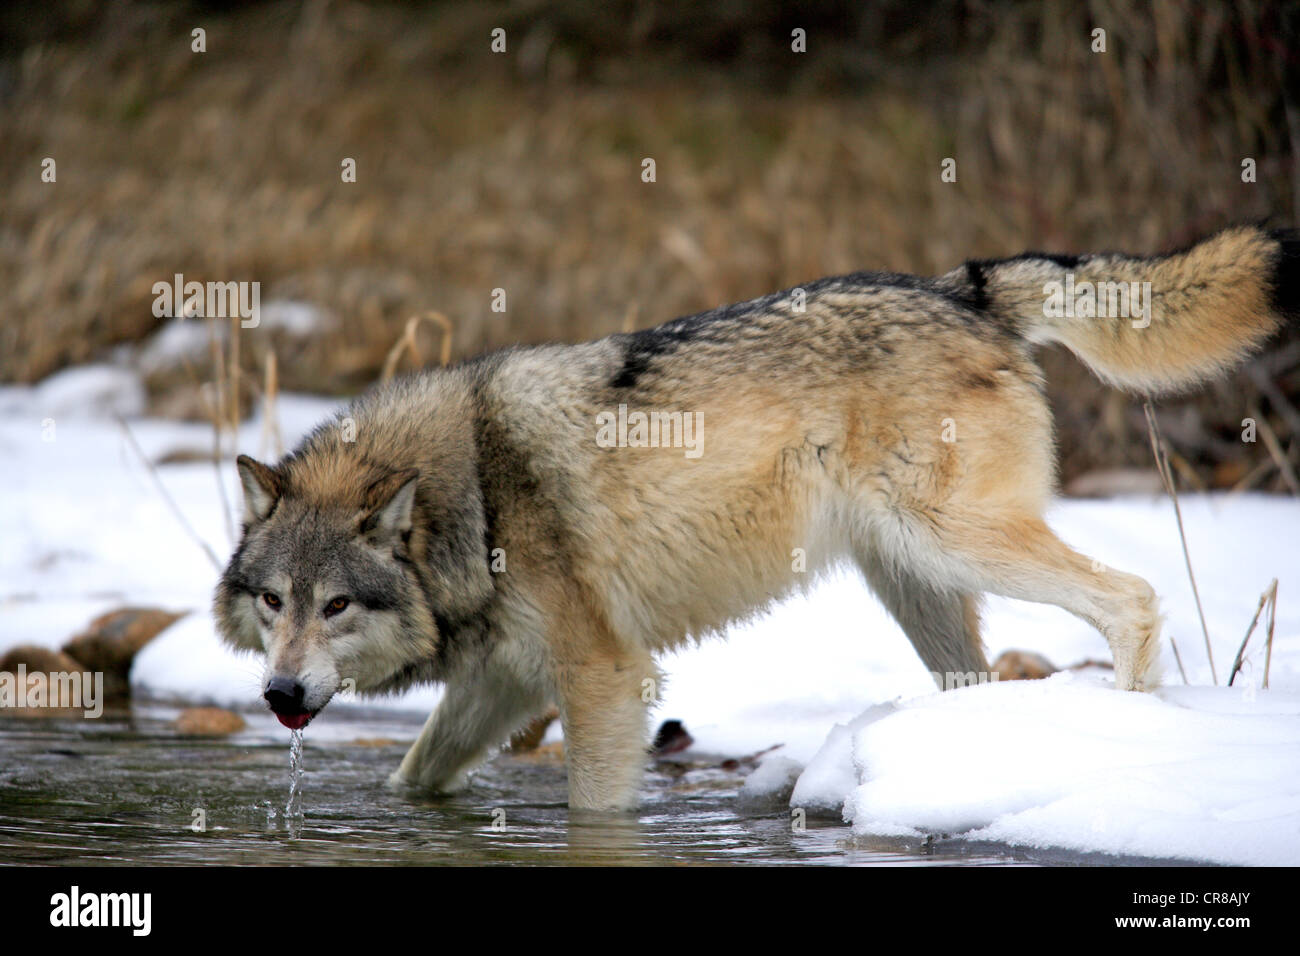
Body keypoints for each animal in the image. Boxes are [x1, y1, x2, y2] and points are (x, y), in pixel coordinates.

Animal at [215, 224, 1297, 811]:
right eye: (273, 601)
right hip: (918, 582)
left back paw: (1132, 729)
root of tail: (963, 288)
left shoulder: (604, 678)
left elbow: (594, 807)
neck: (473, 488)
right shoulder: (504, 683)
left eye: (337, 606)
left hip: (957, 544)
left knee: (1132, 597)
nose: (279, 692)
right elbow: (413, 780)